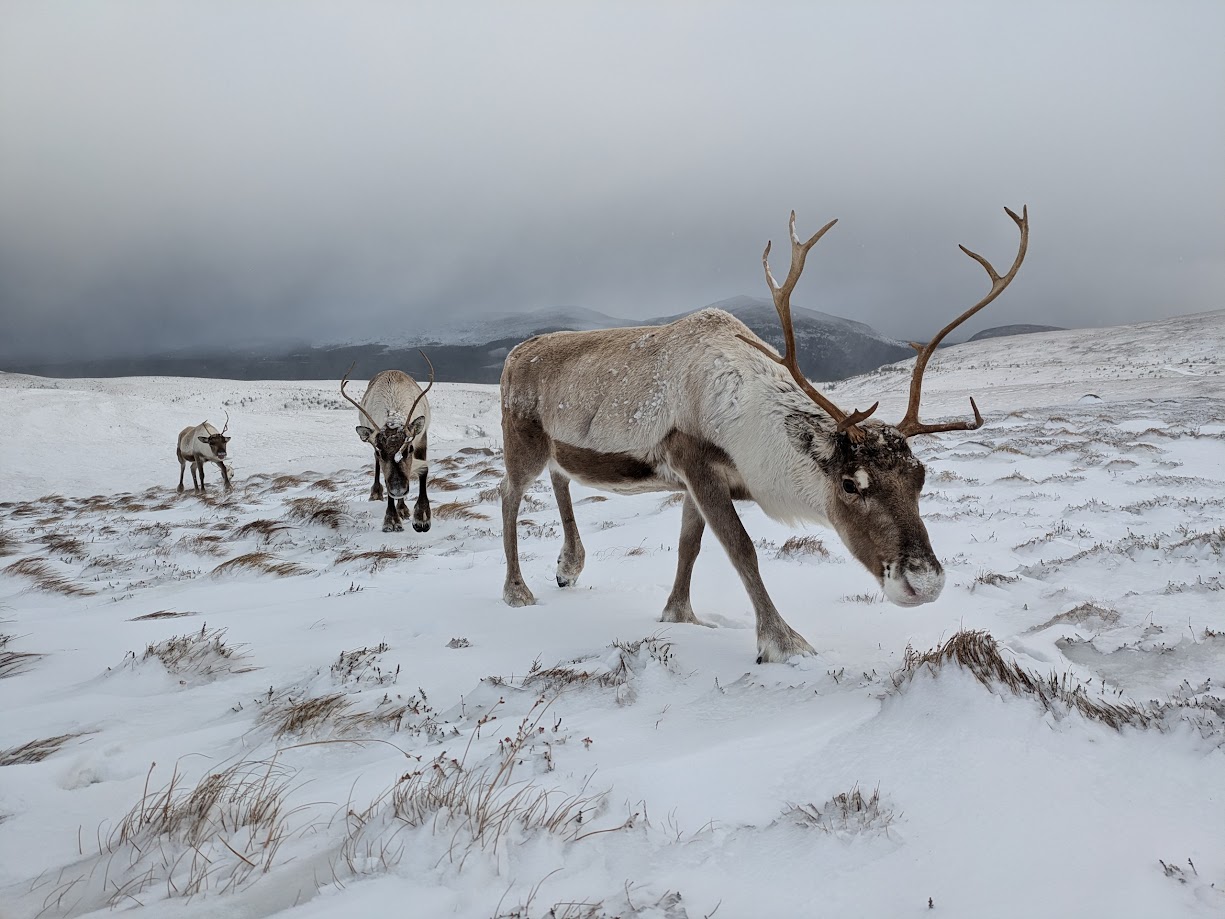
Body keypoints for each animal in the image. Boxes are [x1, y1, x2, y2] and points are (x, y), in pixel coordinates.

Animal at [341, 355, 434, 533]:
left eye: (409, 449)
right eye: (380, 452)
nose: (398, 490)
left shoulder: (421, 438)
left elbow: (423, 471)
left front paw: (422, 519)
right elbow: (385, 476)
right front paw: (391, 520)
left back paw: (403, 508)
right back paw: (377, 493)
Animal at [499, 206, 1028, 662]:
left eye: (920, 478)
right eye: (850, 484)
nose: (925, 584)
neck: (744, 420)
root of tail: (514, 354)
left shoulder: (697, 482)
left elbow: (690, 547)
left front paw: (679, 614)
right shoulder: (696, 464)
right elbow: (741, 549)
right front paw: (783, 642)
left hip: (557, 447)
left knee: (560, 478)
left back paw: (568, 566)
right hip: (520, 438)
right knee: (509, 492)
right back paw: (517, 591)